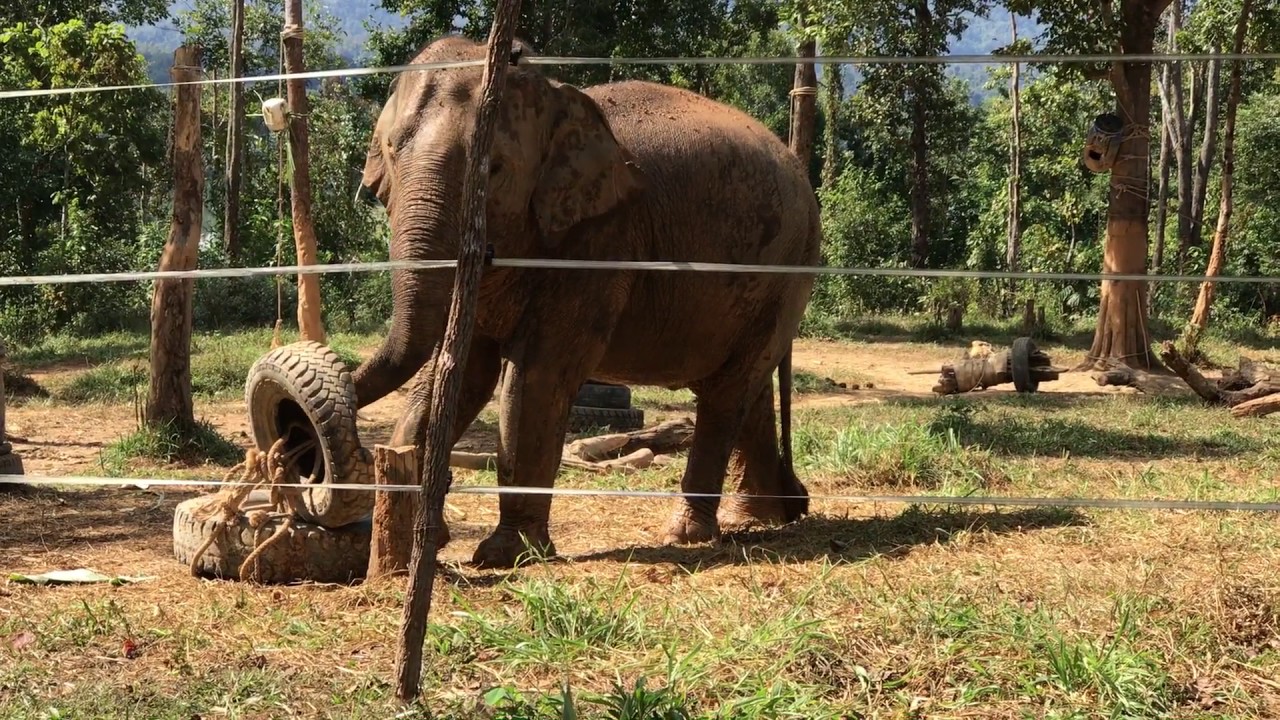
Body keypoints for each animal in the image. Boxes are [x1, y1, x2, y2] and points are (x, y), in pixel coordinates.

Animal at [350, 34, 823, 569]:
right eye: (392, 150)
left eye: (494, 169)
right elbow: (459, 369)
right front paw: (422, 533)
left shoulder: (600, 240)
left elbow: (536, 377)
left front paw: (505, 555)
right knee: (747, 387)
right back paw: (764, 517)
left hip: (790, 269)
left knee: (728, 393)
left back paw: (690, 534)